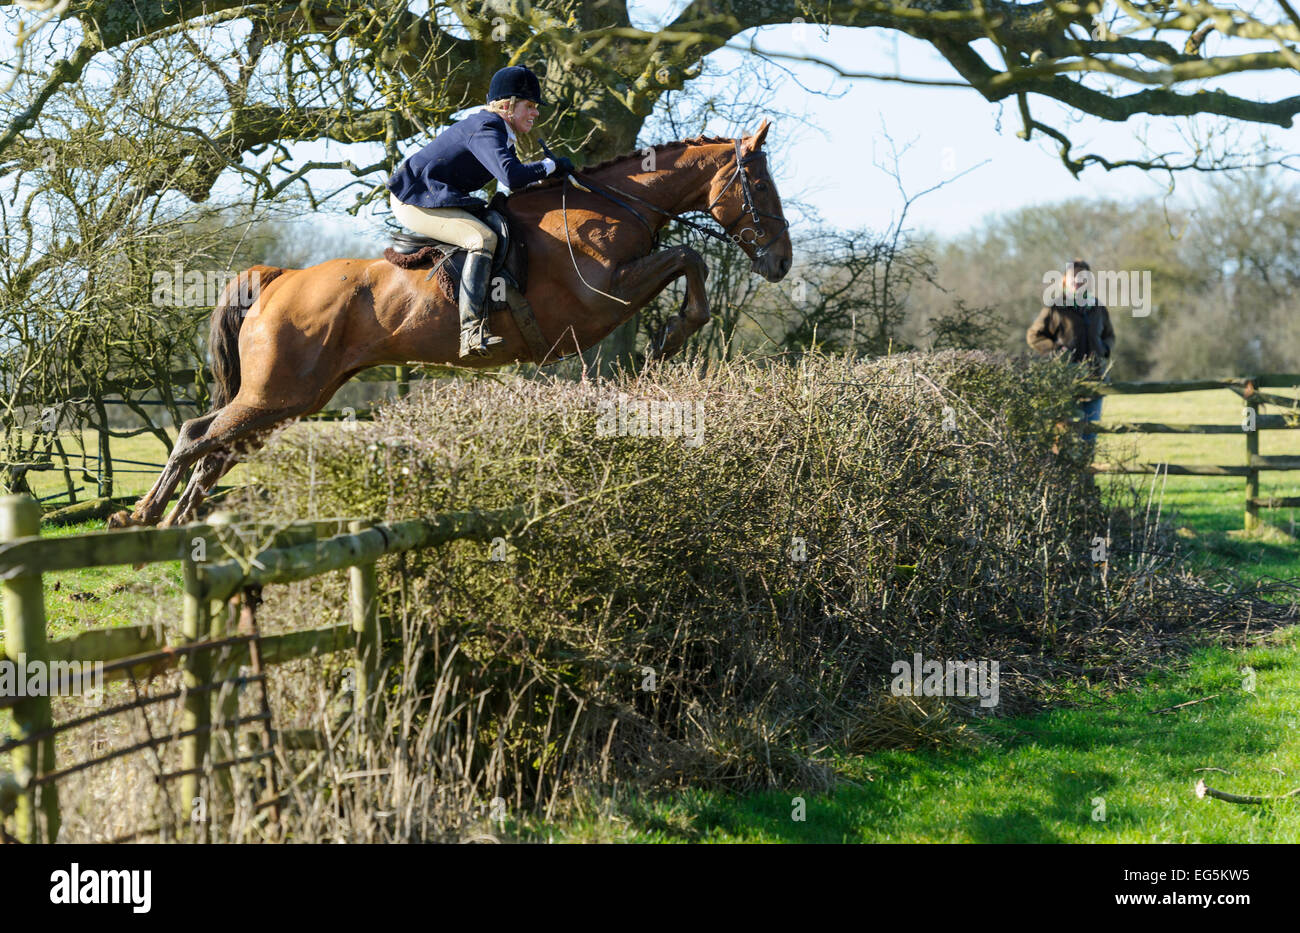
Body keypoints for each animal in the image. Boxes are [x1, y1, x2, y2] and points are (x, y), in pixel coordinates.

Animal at [113, 120, 793, 528]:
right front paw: (671, 335)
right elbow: (687, 257)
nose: (782, 262)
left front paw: (672, 334)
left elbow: (686, 258)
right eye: (760, 186)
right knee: (196, 434)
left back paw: (177, 523)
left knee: (218, 446)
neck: (609, 208)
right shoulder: (602, 297)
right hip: (276, 391)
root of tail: (278, 278)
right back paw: (144, 517)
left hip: (293, 398)